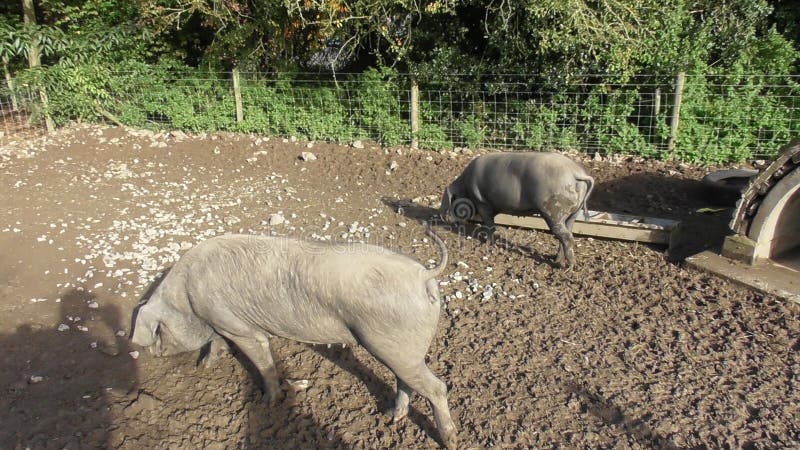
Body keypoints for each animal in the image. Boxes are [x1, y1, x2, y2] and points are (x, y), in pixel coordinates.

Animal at [131, 227, 457, 449]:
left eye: (158, 331)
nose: (152, 353)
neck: (187, 300)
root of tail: (423, 275)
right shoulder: (223, 326)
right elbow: (217, 343)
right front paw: (205, 365)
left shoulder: (240, 328)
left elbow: (263, 362)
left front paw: (269, 401)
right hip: (401, 350)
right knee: (408, 382)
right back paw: (392, 416)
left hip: (391, 345)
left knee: (437, 387)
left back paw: (449, 440)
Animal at [439, 152, 594, 268]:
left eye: (451, 200)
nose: (441, 216)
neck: (466, 187)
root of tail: (576, 173)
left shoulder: (482, 202)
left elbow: (489, 225)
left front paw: (487, 244)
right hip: (574, 213)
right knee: (567, 233)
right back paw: (556, 260)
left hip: (554, 211)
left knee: (566, 237)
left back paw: (567, 267)